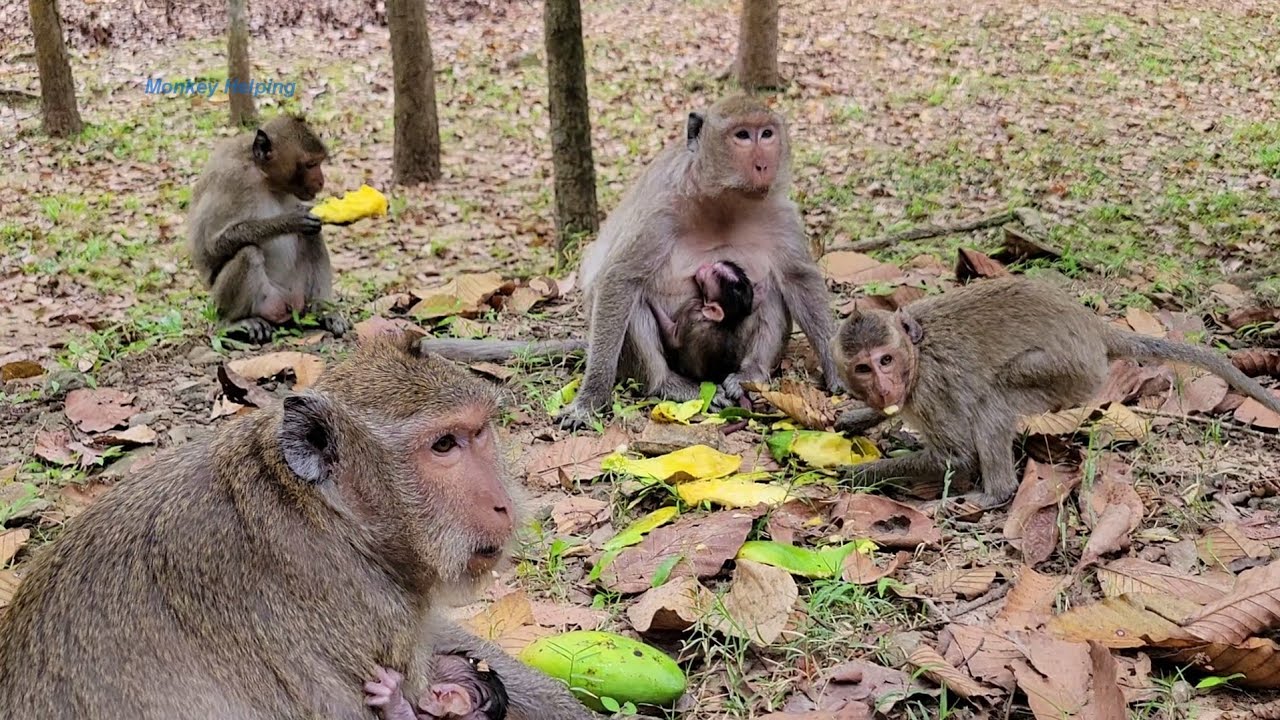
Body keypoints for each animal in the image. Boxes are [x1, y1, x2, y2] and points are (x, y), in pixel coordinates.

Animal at [186, 113, 349, 344]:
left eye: (318, 163)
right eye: (310, 164)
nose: (321, 182)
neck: (264, 177)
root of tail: (287, 305)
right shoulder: (231, 179)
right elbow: (212, 246)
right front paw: (291, 220)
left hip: (297, 296)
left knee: (312, 238)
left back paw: (322, 311)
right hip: (257, 301)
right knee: (248, 252)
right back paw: (233, 322)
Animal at [418, 95, 843, 428]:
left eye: (766, 133)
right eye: (742, 136)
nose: (763, 164)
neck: (724, 200)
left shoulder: (779, 209)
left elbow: (799, 279)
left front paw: (838, 371)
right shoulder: (661, 209)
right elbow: (621, 279)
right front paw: (591, 397)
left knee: (770, 291)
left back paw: (749, 376)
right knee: (633, 301)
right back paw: (667, 384)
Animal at [832, 275, 1280, 509]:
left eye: (886, 360)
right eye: (863, 368)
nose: (884, 385)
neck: (917, 356)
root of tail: (1094, 327)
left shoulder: (930, 392)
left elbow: (957, 454)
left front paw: (861, 474)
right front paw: (859, 417)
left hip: (1068, 372)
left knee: (993, 400)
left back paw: (994, 495)